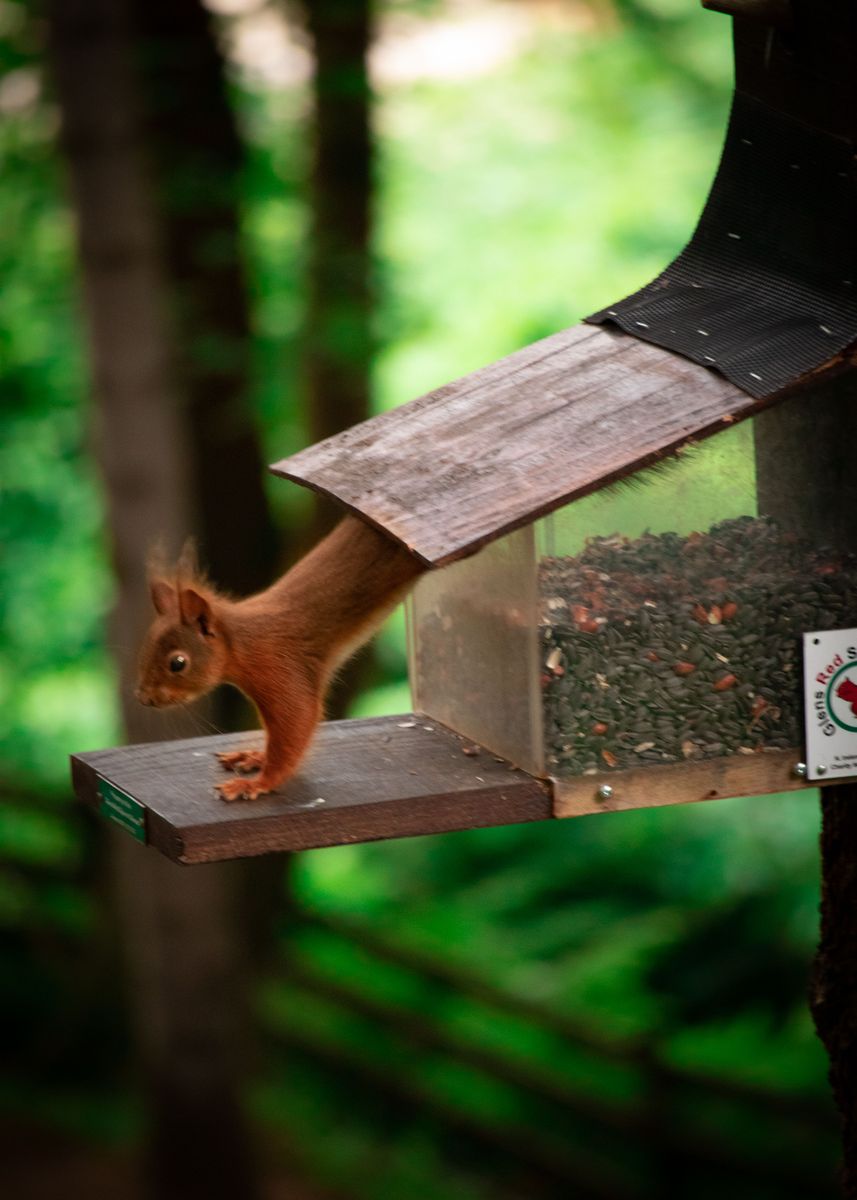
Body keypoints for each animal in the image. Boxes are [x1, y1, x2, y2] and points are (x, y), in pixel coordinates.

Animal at [135, 515, 425, 801]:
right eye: (145, 648)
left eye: (178, 663)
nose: (144, 698)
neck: (241, 645)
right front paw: (254, 757)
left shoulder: (280, 668)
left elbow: (296, 722)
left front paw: (256, 783)